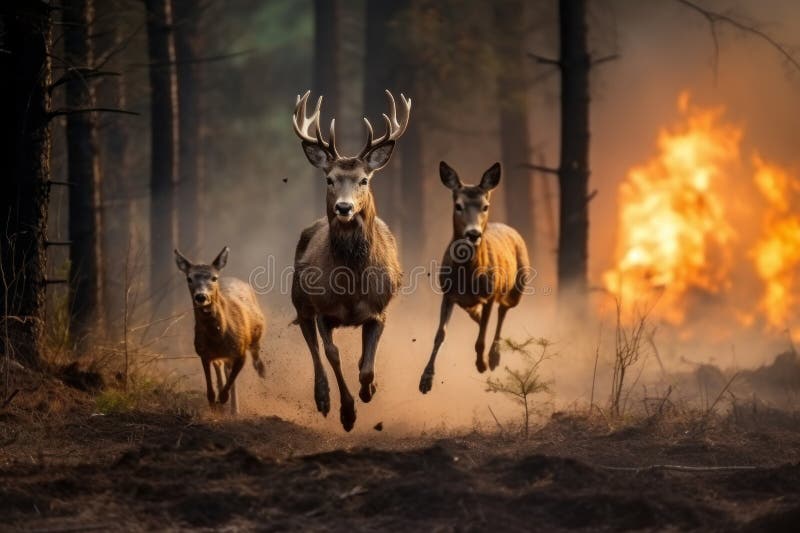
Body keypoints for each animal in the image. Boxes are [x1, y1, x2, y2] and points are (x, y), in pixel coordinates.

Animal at [174, 247, 266, 414]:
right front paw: (214, 403)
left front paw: (225, 401)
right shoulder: (203, 353)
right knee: (222, 369)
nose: (201, 296)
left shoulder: (240, 352)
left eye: (214, 278)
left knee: (254, 352)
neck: (218, 338)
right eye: (189, 278)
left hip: (256, 334)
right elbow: (211, 388)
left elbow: (230, 383)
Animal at [290, 89, 410, 431]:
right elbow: (332, 355)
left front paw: (369, 390)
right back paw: (322, 398)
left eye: (364, 180)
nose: (344, 208)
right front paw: (347, 412)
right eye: (330, 179)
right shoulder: (323, 311)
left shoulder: (379, 310)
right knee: (312, 347)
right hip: (299, 300)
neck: (352, 286)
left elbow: (367, 366)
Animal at [419, 161, 531, 394]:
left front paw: (482, 363)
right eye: (458, 205)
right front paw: (426, 379)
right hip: (468, 302)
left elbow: (480, 339)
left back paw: (494, 356)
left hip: (516, 288)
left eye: (484, 206)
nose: (473, 233)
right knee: (480, 316)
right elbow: (439, 335)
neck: (467, 276)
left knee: (502, 311)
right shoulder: (447, 293)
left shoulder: (490, 294)